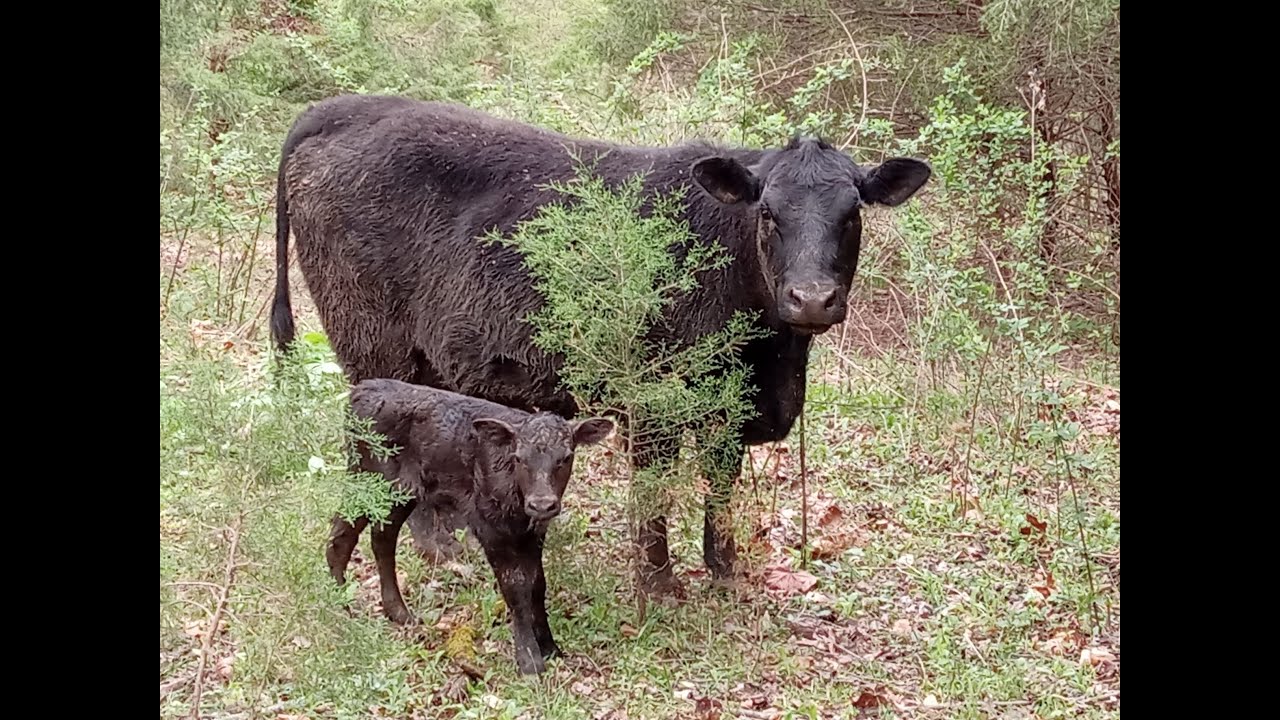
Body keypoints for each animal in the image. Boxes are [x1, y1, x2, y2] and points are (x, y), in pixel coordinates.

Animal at [272, 95, 930, 594]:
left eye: (853, 212)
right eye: (767, 212)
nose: (812, 298)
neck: (771, 358)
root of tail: (346, 107)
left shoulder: (728, 410)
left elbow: (719, 491)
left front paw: (724, 574)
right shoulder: (654, 401)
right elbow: (655, 492)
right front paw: (659, 586)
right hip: (374, 350)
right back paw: (441, 554)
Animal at [334, 378, 614, 674]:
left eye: (566, 457)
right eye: (518, 457)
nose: (542, 504)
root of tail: (362, 390)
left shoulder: (533, 534)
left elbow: (538, 584)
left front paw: (550, 647)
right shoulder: (489, 529)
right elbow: (515, 588)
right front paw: (529, 661)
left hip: (399, 494)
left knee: (378, 537)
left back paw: (396, 612)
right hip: (370, 480)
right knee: (347, 530)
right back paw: (340, 600)